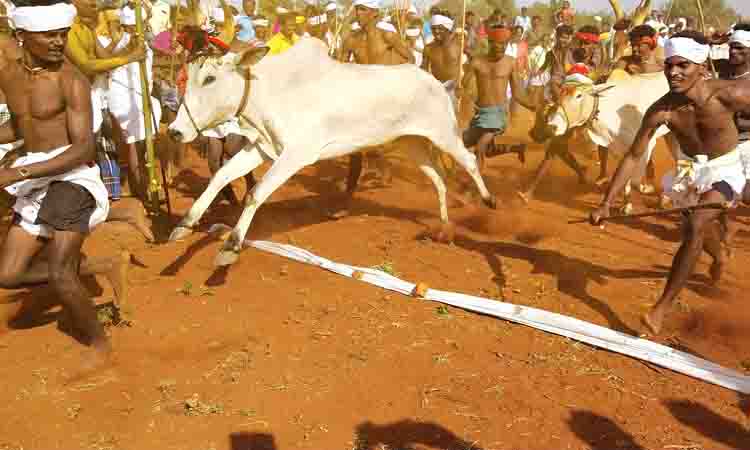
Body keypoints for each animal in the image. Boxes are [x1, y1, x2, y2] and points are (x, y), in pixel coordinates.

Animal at [167, 38, 497, 266]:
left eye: (209, 78)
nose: (175, 131)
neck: (270, 90)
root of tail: (440, 84)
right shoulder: (263, 148)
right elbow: (220, 176)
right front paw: (184, 225)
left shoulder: (296, 154)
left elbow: (255, 193)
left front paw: (230, 247)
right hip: (412, 142)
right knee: (438, 177)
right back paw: (443, 227)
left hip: (444, 135)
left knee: (468, 160)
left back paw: (487, 200)